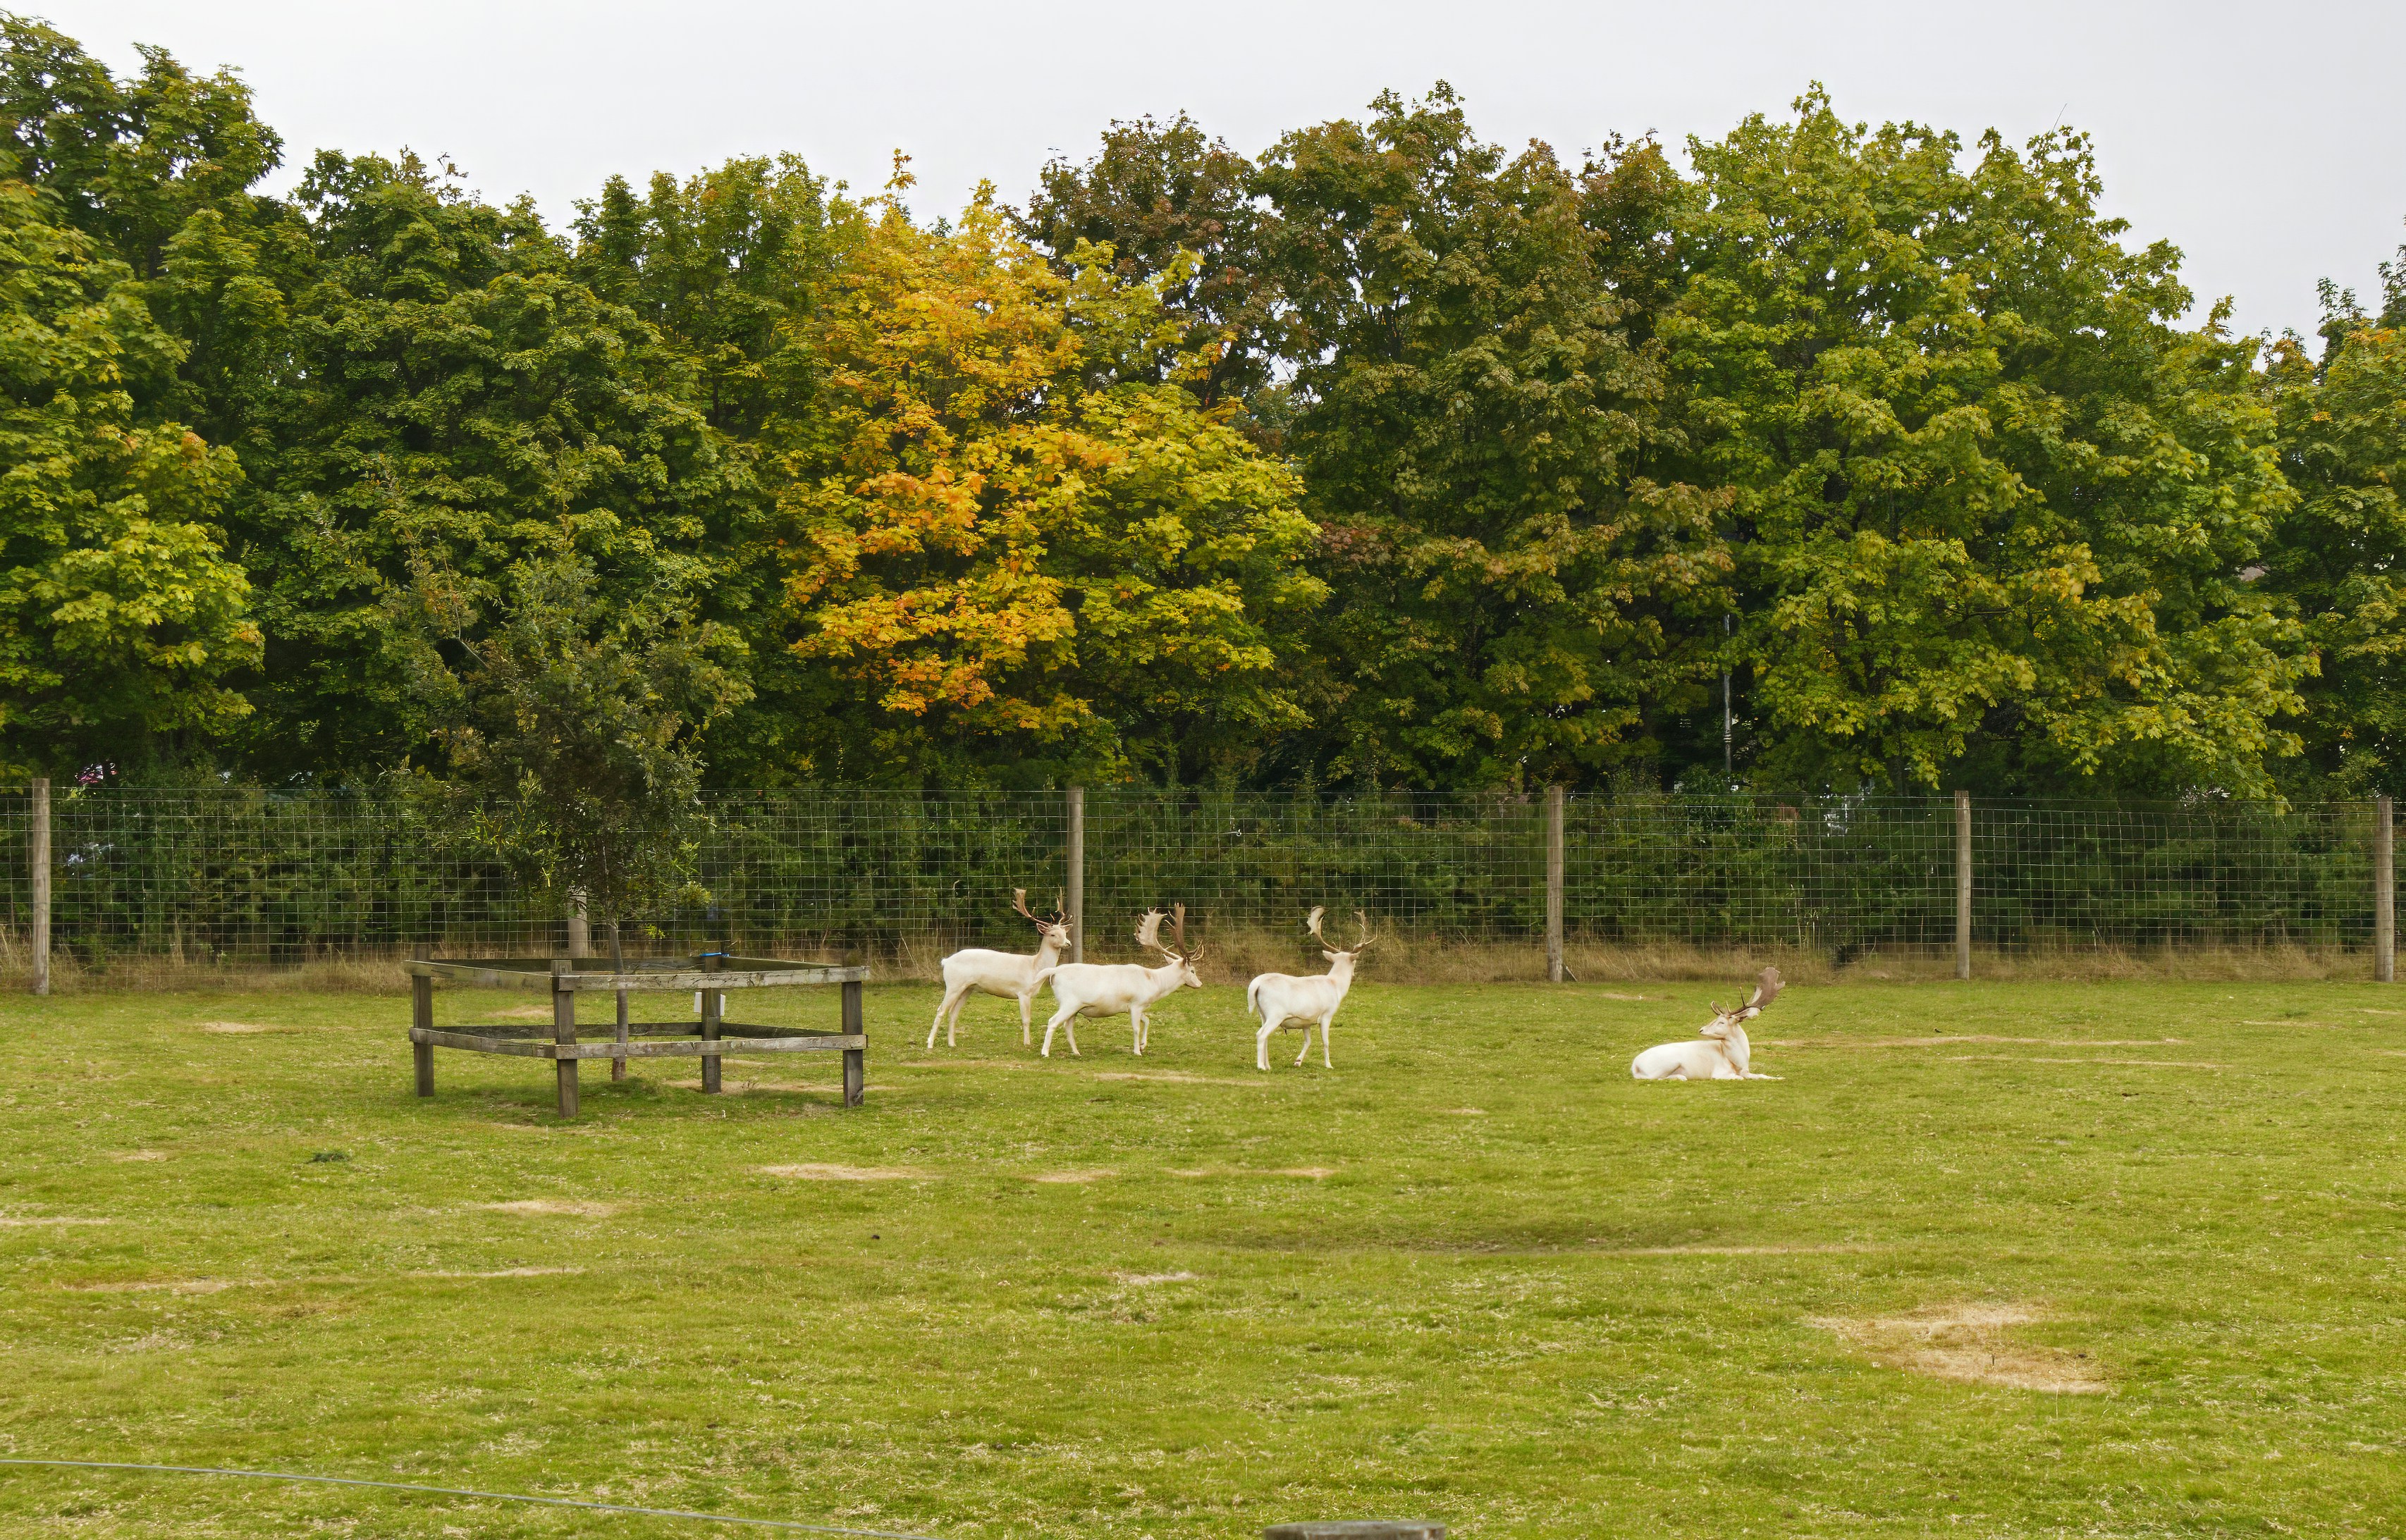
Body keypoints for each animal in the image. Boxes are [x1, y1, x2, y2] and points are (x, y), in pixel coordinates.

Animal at [927, 889, 1073, 1051]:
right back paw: (930, 1044)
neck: (1034, 968)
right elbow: (1026, 1019)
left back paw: (952, 1044)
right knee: (941, 1010)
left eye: (1065, 933)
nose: (1068, 943)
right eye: (1053, 934)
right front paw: (1027, 1043)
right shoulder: (1023, 992)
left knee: (953, 1013)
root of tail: (946, 961)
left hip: (967, 988)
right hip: (953, 984)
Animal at [1032, 905, 1203, 1058]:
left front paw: (1143, 1045)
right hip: (1069, 1002)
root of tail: (1054, 972)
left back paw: (1076, 1052)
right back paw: (1045, 1053)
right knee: (1053, 1021)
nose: (1200, 984)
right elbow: (1136, 1028)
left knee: (1068, 1027)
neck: (1154, 982)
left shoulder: (1134, 1007)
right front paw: (1137, 1052)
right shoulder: (1136, 1003)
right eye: (1193, 970)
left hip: (1074, 1007)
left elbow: (1147, 1020)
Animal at [1247, 907, 1375, 1071]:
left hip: (1262, 1014)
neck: (1336, 986)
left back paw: (1268, 1065)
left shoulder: (1306, 1021)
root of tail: (1256, 984)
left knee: (1266, 1035)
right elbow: (1326, 1042)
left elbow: (1308, 1041)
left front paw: (1298, 1061)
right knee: (1261, 1035)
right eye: (1355, 962)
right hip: (1275, 1013)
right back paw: (1261, 1066)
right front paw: (1328, 1065)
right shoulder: (1327, 1014)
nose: (1354, 975)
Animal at [1630, 966, 1785, 1080]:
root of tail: (1635, 1066)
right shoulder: (1719, 1072)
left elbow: (1762, 1075)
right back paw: (1680, 1077)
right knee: (1655, 1078)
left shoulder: (1746, 1071)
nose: (1701, 1029)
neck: (1738, 1062)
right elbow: (1739, 1078)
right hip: (1667, 1063)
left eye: (1721, 1022)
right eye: (1716, 1020)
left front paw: (1780, 1078)